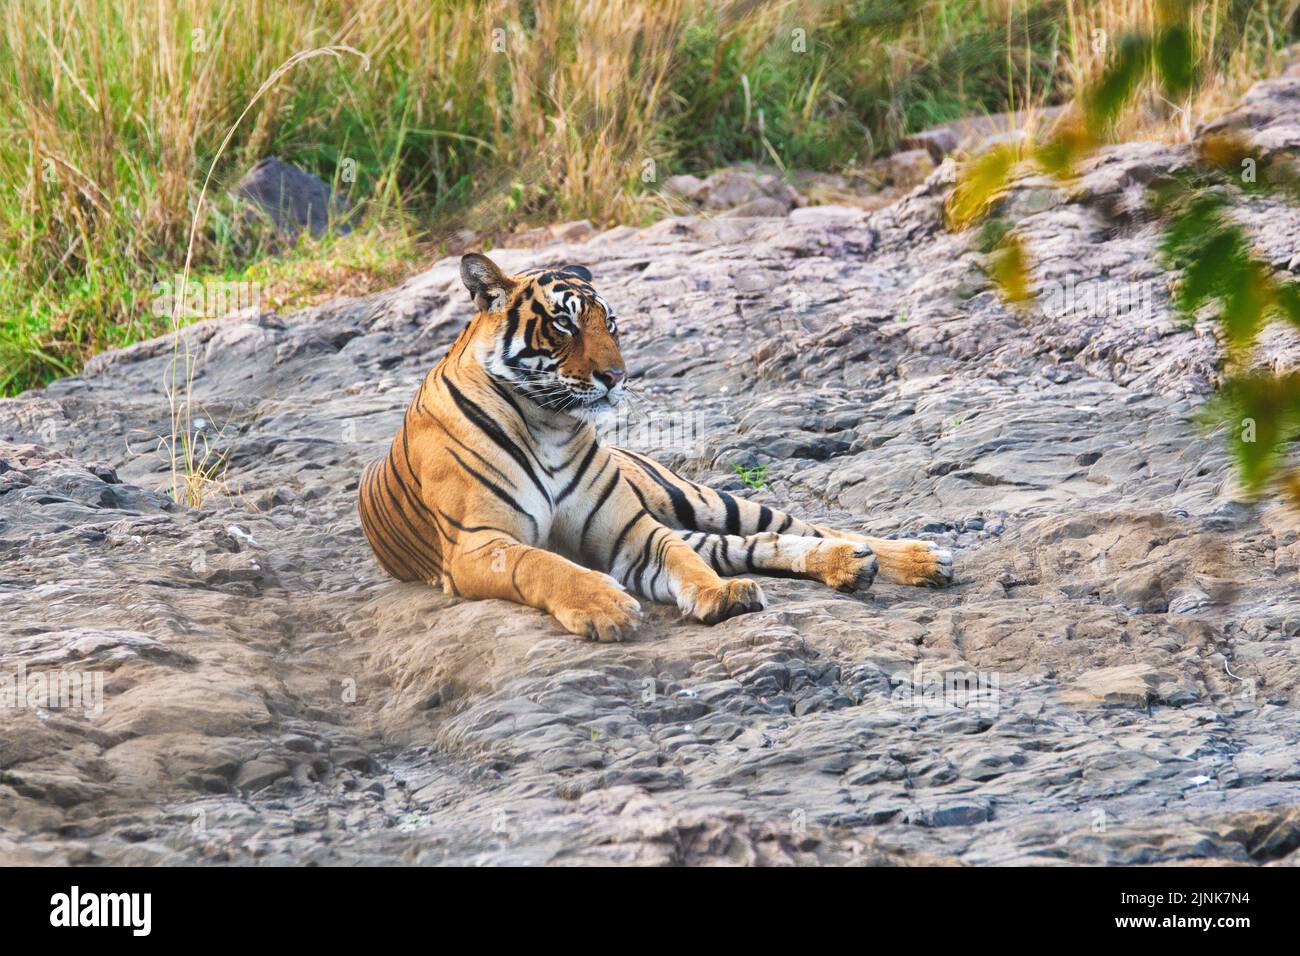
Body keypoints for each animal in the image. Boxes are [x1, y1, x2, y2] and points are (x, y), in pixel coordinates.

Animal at [357, 252, 953, 641]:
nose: (617, 377)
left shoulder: (630, 530)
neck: (548, 422)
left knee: (795, 526)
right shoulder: (478, 545)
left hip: (698, 498)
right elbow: (544, 564)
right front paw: (605, 606)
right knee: (749, 544)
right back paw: (855, 565)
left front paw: (719, 595)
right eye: (564, 323)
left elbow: (682, 561)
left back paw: (915, 557)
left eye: (612, 324)